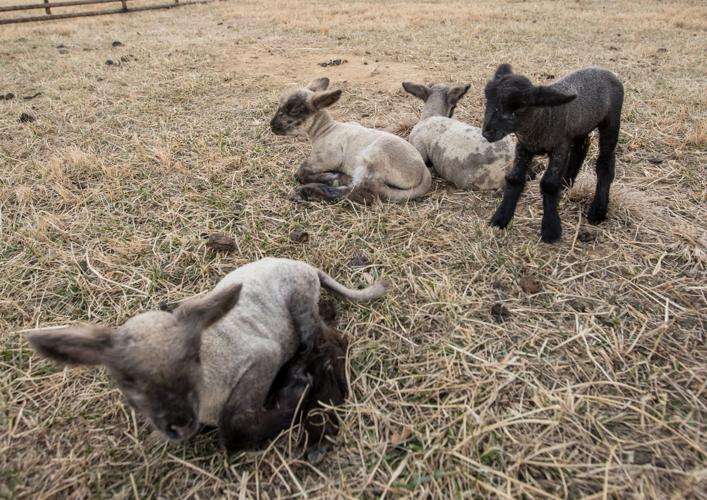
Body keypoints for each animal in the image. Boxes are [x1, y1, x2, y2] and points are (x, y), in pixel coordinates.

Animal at [27, 257, 387, 451]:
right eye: (126, 380)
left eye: (193, 358)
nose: (179, 424)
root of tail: (306, 266)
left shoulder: (262, 357)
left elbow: (233, 428)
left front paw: (293, 396)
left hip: (301, 304)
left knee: (330, 340)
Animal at [270, 77, 431, 203]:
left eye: (294, 111)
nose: (272, 126)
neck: (325, 131)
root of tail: (423, 171)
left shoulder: (330, 157)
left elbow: (300, 172)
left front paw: (330, 177)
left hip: (372, 158)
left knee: (363, 193)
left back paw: (307, 192)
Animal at [482, 64, 624, 243]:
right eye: (487, 101)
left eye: (518, 109)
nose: (487, 132)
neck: (544, 119)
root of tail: (606, 71)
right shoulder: (524, 147)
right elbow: (514, 178)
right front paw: (500, 218)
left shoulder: (559, 148)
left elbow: (548, 184)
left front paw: (551, 230)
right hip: (579, 127)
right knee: (581, 149)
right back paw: (565, 183)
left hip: (611, 120)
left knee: (605, 163)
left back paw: (598, 211)